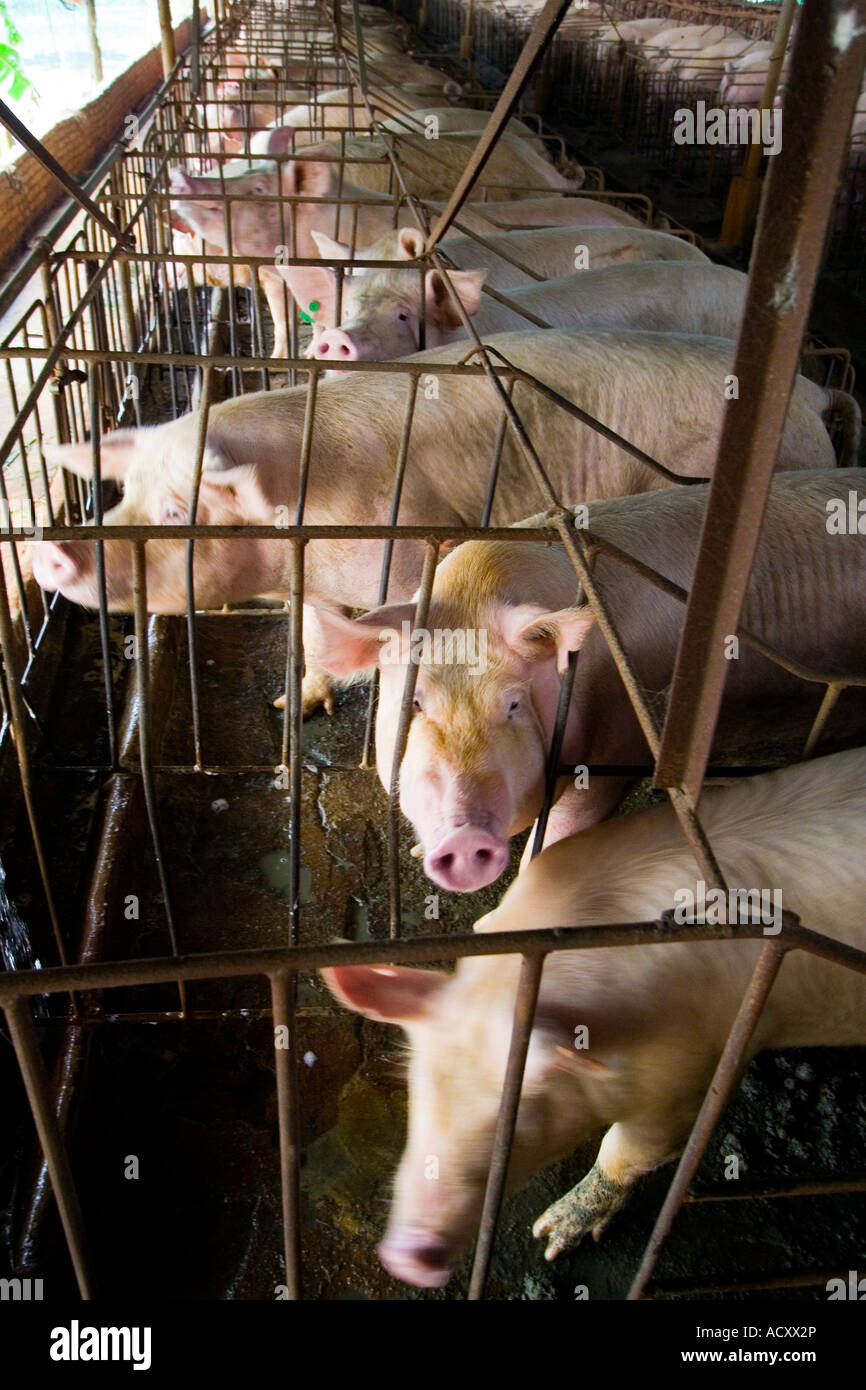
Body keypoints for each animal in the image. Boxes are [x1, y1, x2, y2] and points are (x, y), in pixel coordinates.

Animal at [35, 334, 856, 717]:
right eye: (122, 492)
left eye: (178, 511)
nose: (49, 550)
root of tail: (811, 392)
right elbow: (309, 632)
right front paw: (292, 706)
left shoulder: (408, 551)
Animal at [323, 745, 866, 1284]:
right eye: (420, 1095)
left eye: (518, 1117)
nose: (405, 1258)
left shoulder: (688, 1074)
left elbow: (632, 1151)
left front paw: (550, 1238)